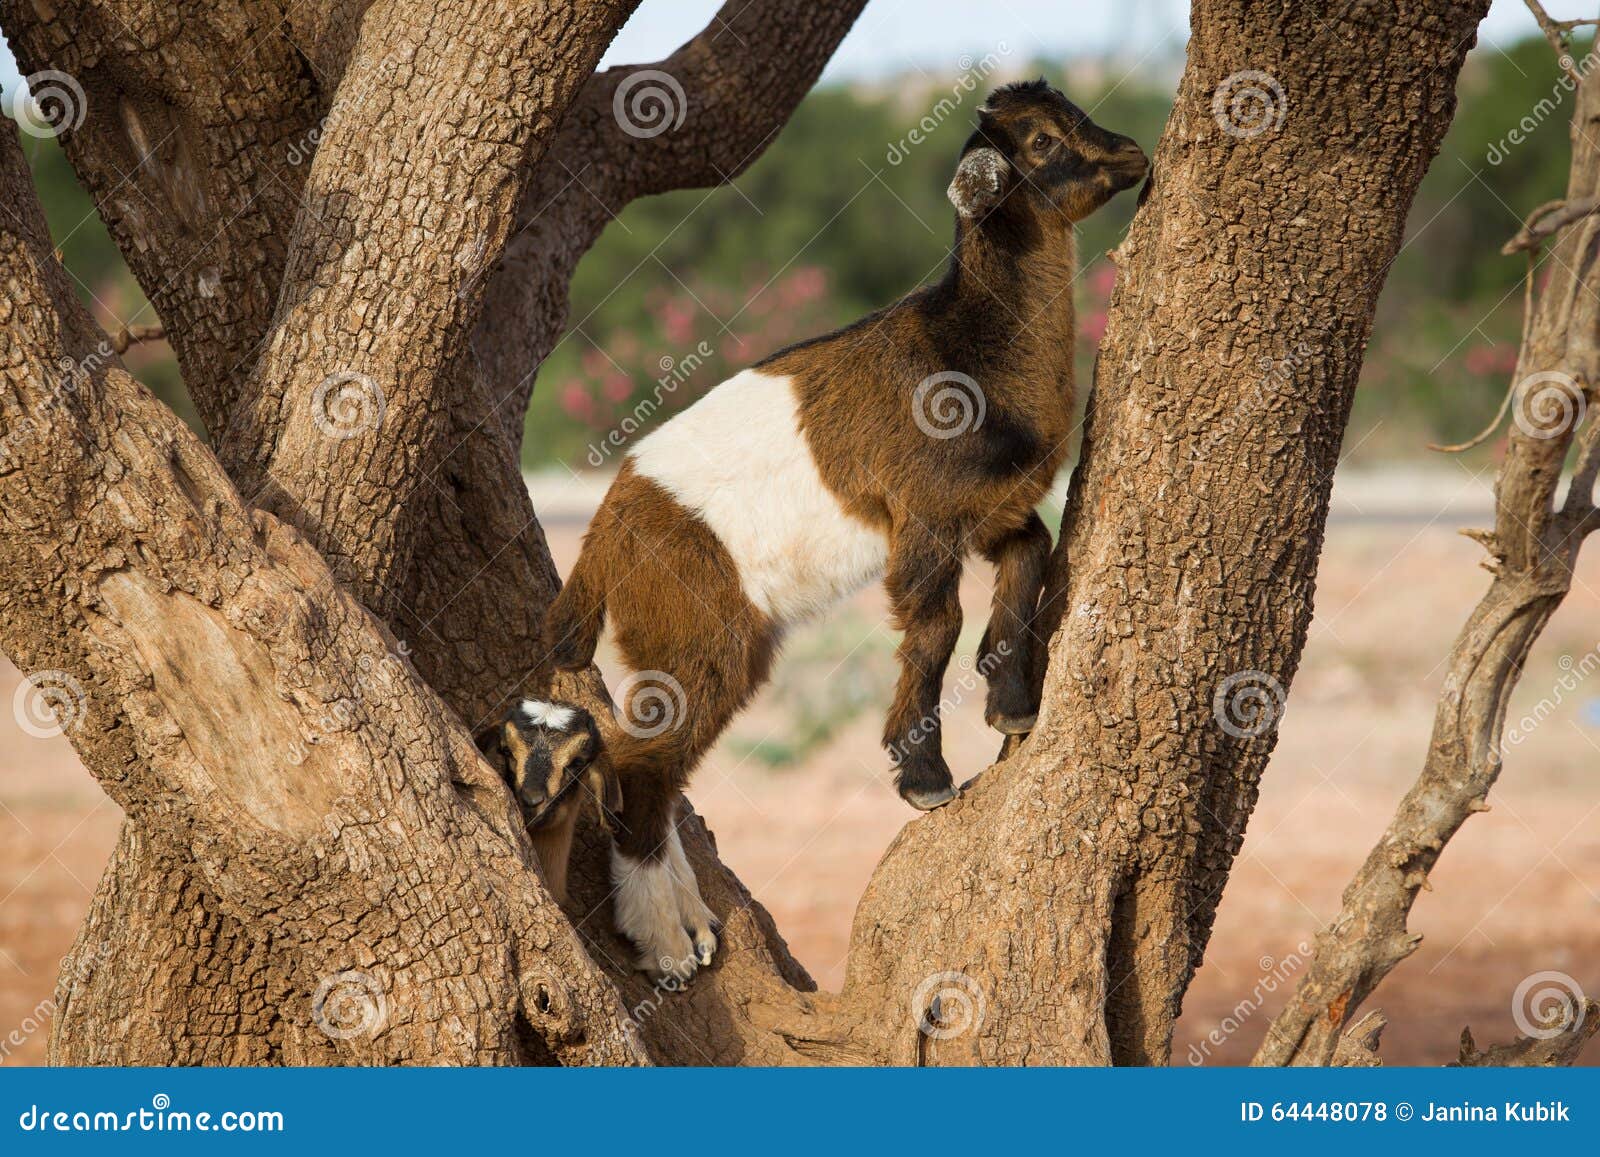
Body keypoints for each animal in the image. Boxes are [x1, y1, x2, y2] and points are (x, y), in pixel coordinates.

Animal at [543, 80, 1148, 983]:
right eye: (1040, 141)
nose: (1136, 154)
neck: (968, 347)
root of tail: (603, 535)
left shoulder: (987, 510)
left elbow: (1029, 558)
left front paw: (1011, 702)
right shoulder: (922, 521)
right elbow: (934, 627)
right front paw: (925, 773)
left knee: (657, 762)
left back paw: (693, 923)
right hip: (696, 630)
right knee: (641, 767)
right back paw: (667, 944)